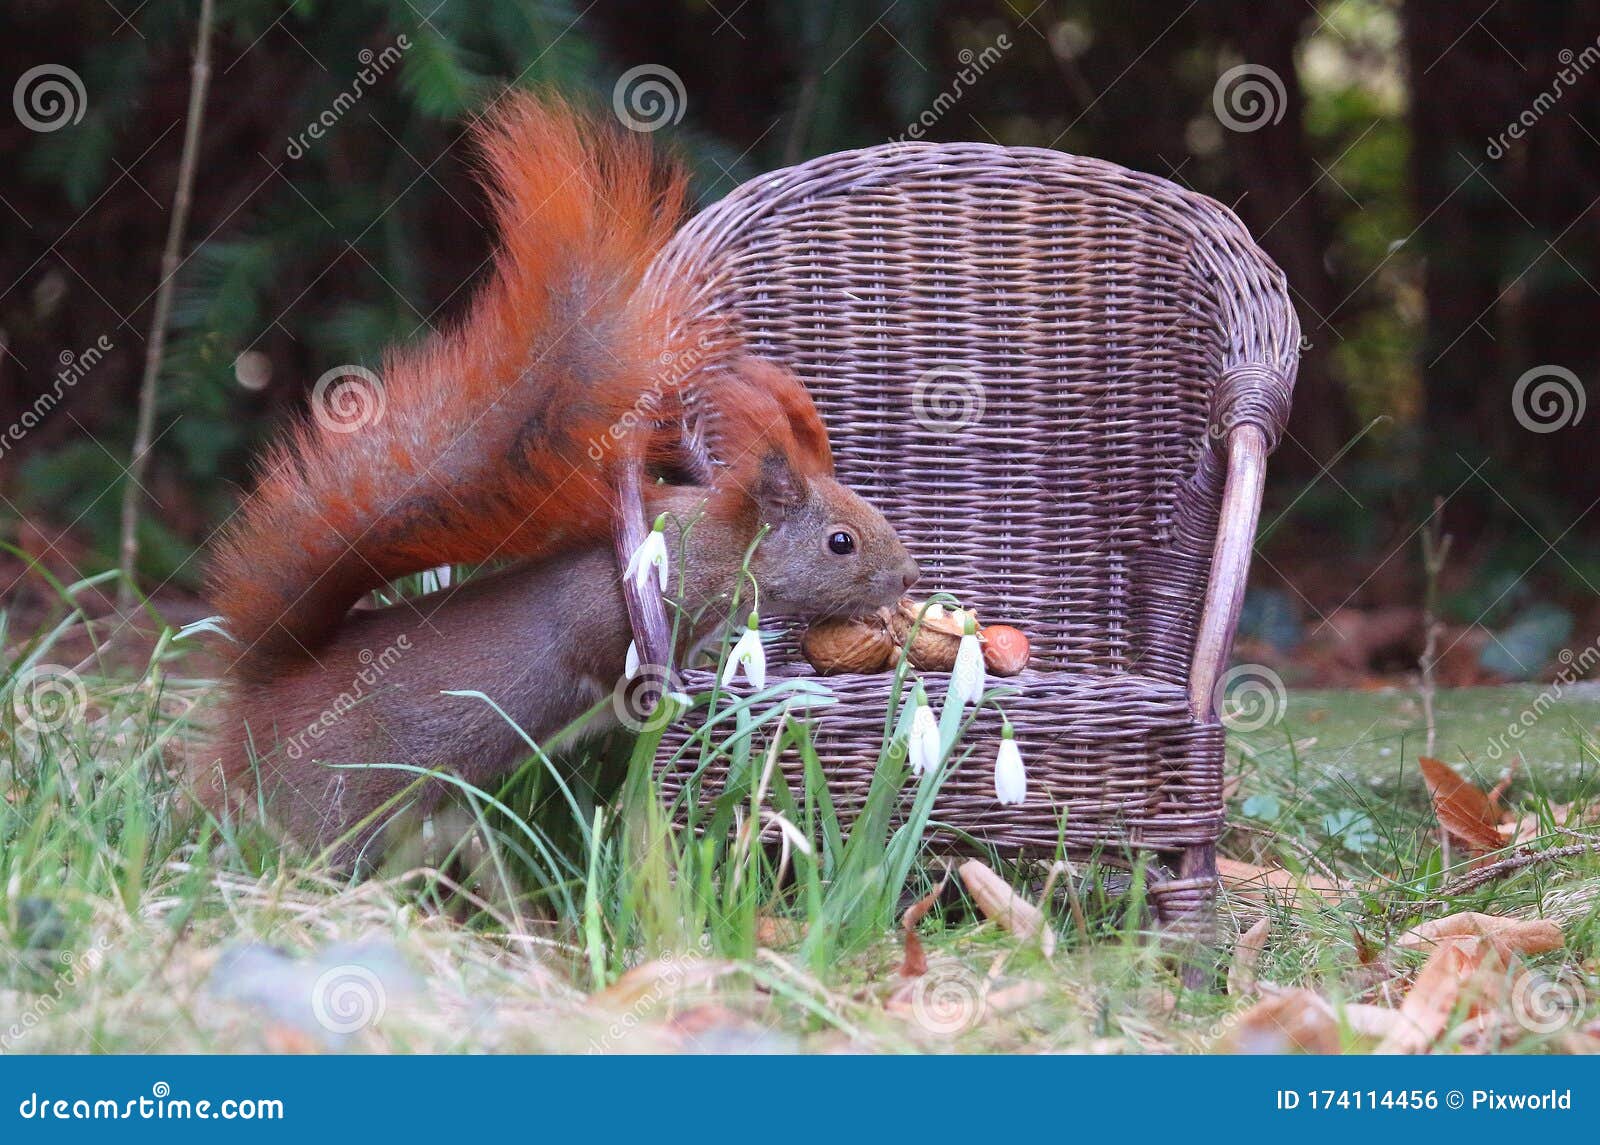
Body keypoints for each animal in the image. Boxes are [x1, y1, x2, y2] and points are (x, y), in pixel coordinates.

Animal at [194, 95, 919, 860]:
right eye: (841, 542)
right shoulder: (601, 605)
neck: (716, 545)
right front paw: (662, 693)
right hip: (335, 797)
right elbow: (601, 651)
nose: (909, 578)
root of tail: (261, 694)